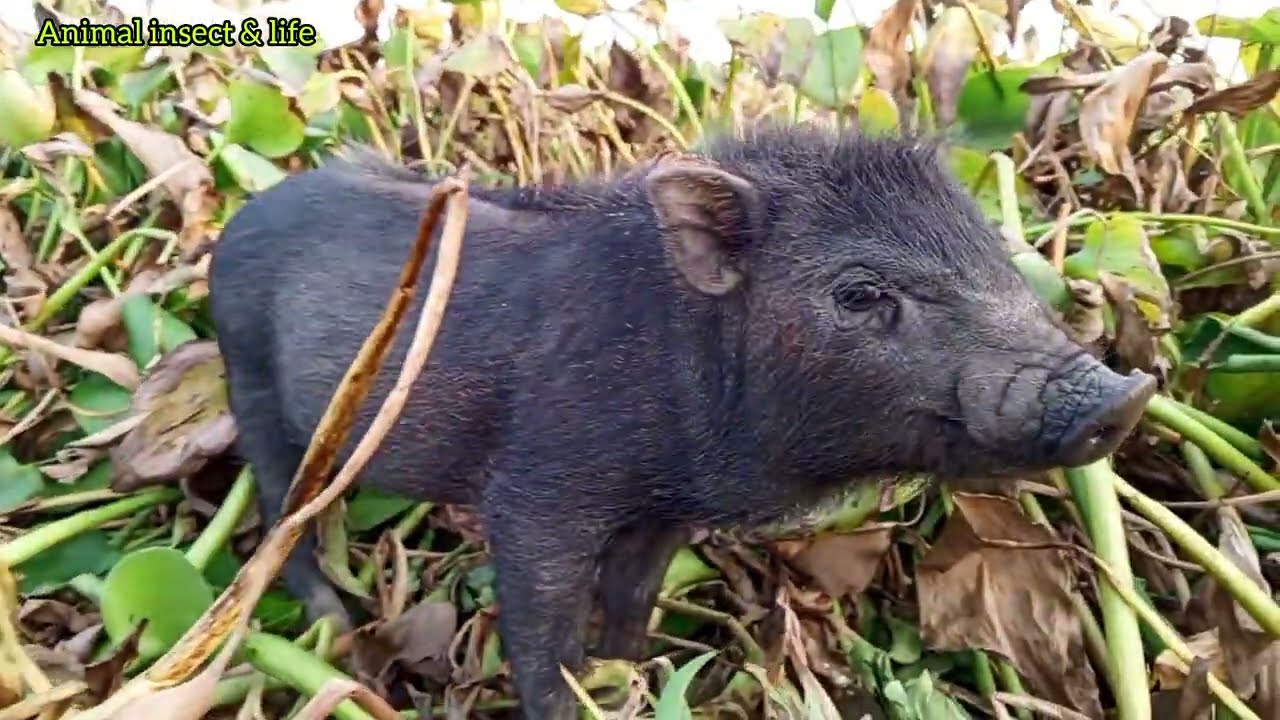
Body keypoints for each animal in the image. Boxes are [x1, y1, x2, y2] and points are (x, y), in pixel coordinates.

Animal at [207, 123, 1156, 719]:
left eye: (997, 255)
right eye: (859, 293)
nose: (1122, 395)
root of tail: (235, 223)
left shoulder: (665, 505)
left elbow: (636, 589)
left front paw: (640, 666)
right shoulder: (537, 495)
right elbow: (542, 628)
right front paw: (578, 697)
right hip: (249, 377)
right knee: (278, 502)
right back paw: (333, 624)